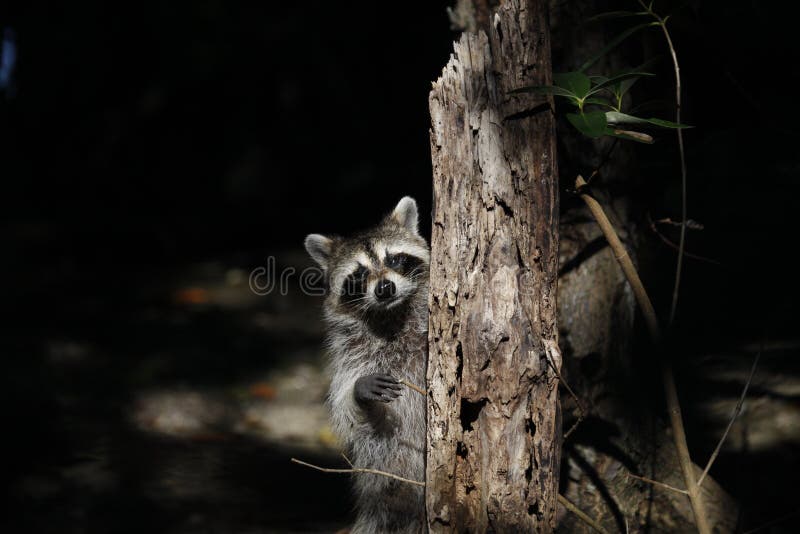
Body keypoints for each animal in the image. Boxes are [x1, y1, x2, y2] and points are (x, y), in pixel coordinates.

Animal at [304, 197, 429, 534]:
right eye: (359, 274)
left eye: (395, 259)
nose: (384, 288)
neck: (390, 316)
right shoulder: (348, 353)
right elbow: (348, 415)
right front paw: (360, 392)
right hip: (384, 479)